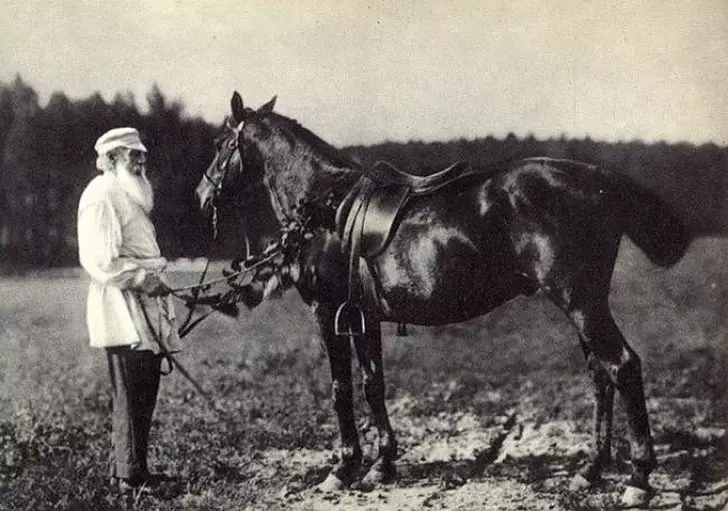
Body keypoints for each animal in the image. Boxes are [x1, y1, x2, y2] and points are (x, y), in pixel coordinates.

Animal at [195, 92, 688, 504]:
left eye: (220, 142)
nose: (201, 194)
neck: (323, 208)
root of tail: (599, 178)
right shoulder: (363, 316)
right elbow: (373, 384)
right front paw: (382, 464)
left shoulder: (328, 312)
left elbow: (340, 389)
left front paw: (343, 468)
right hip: (583, 304)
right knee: (601, 375)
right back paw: (590, 470)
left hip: (580, 302)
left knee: (623, 366)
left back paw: (638, 479)